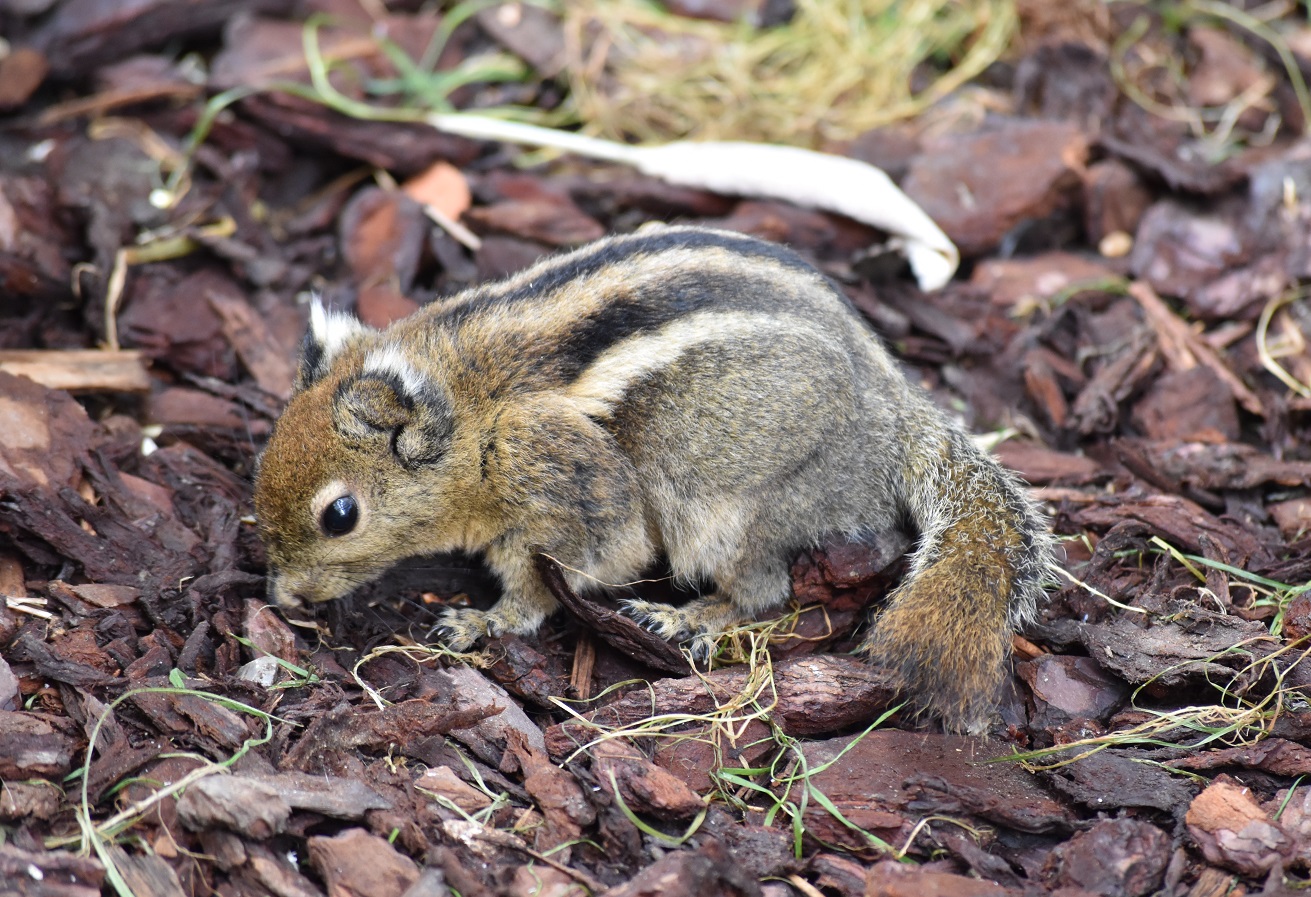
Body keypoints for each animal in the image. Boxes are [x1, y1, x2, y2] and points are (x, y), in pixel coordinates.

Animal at [253, 225, 1052, 731]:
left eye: (340, 515)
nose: (283, 595)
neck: (471, 410)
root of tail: (892, 419)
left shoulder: (567, 494)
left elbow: (555, 576)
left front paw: (486, 620)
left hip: (734, 514)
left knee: (765, 589)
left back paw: (687, 617)